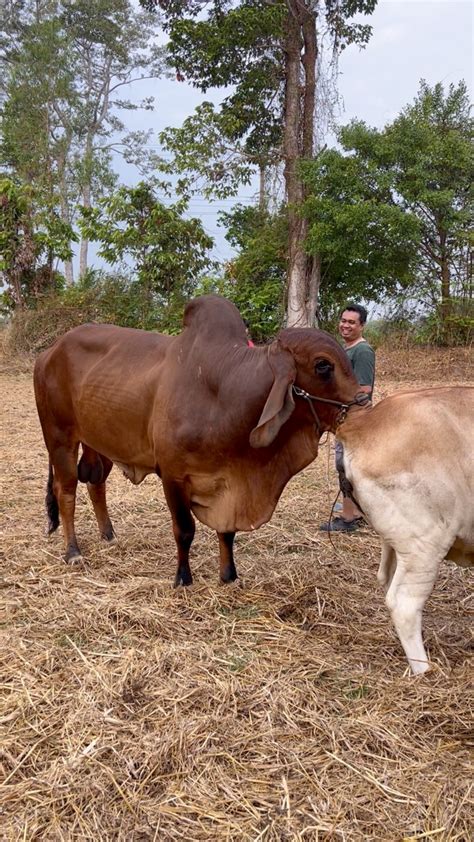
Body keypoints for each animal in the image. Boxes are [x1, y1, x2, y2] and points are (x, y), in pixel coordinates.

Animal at [34, 294, 369, 586]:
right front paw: (183, 578)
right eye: (323, 365)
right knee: (65, 490)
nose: (363, 406)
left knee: (95, 481)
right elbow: (184, 530)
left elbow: (227, 532)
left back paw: (108, 535)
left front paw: (229, 575)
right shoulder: (173, 476)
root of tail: (49, 351)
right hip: (59, 437)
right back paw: (73, 551)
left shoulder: (227, 485)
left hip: (97, 441)